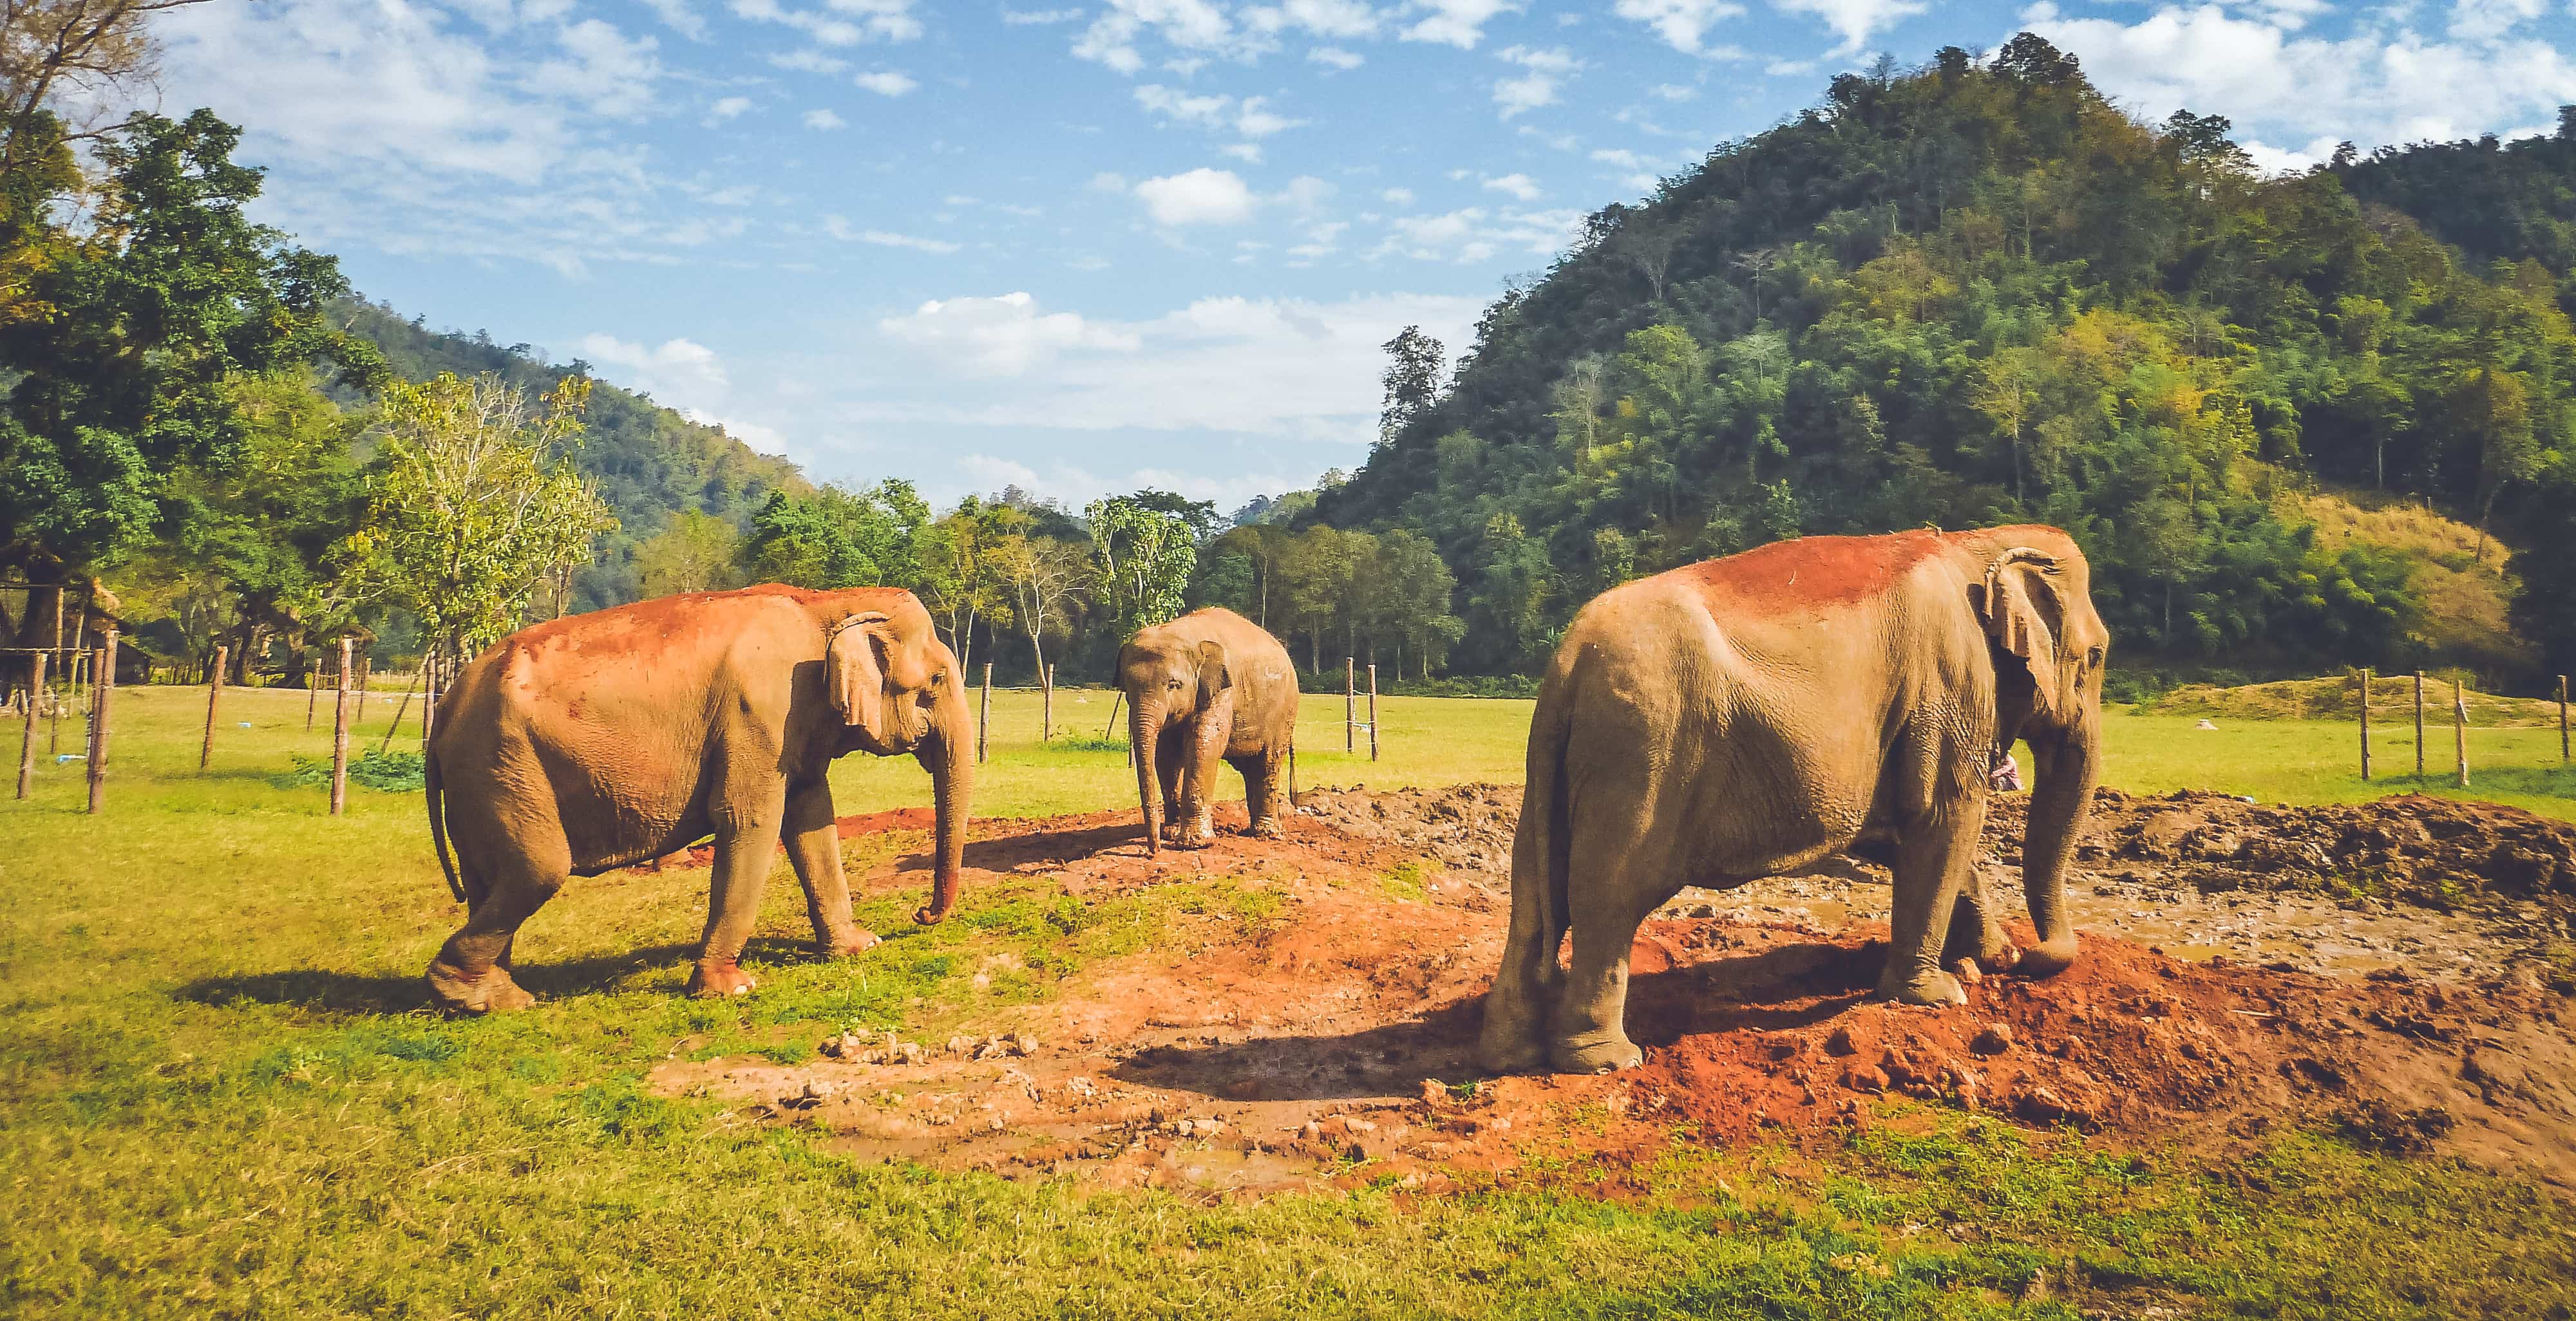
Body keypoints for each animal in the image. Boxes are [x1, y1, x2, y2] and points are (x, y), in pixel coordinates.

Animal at [422, 584, 972, 1013]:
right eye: (937, 681)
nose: (921, 916)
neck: (826, 602)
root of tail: (445, 706)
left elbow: (812, 813)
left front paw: (859, 947)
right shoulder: (759, 714)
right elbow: (752, 820)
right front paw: (732, 988)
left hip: (485, 779)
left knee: (490, 879)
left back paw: (497, 996)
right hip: (500, 762)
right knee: (539, 868)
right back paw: (470, 994)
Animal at [1116, 607, 1299, 852]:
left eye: (1173, 685)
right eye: (1126, 688)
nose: (1154, 851)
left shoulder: (1223, 689)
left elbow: (1204, 744)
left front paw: (1194, 843)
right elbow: (1166, 754)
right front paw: (1171, 833)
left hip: (1284, 712)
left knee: (1268, 762)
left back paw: (1266, 833)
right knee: (1251, 768)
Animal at [1477, 525, 2109, 1075]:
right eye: (2098, 655)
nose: (2031, 958)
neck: (1974, 543)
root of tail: (1567, 662)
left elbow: (1894, 832)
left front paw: (1989, 961)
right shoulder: (1952, 682)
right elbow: (1945, 816)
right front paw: (1939, 996)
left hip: (1561, 766)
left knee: (1531, 898)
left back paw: (1508, 1056)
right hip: (1640, 750)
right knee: (1606, 896)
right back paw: (1609, 1062)